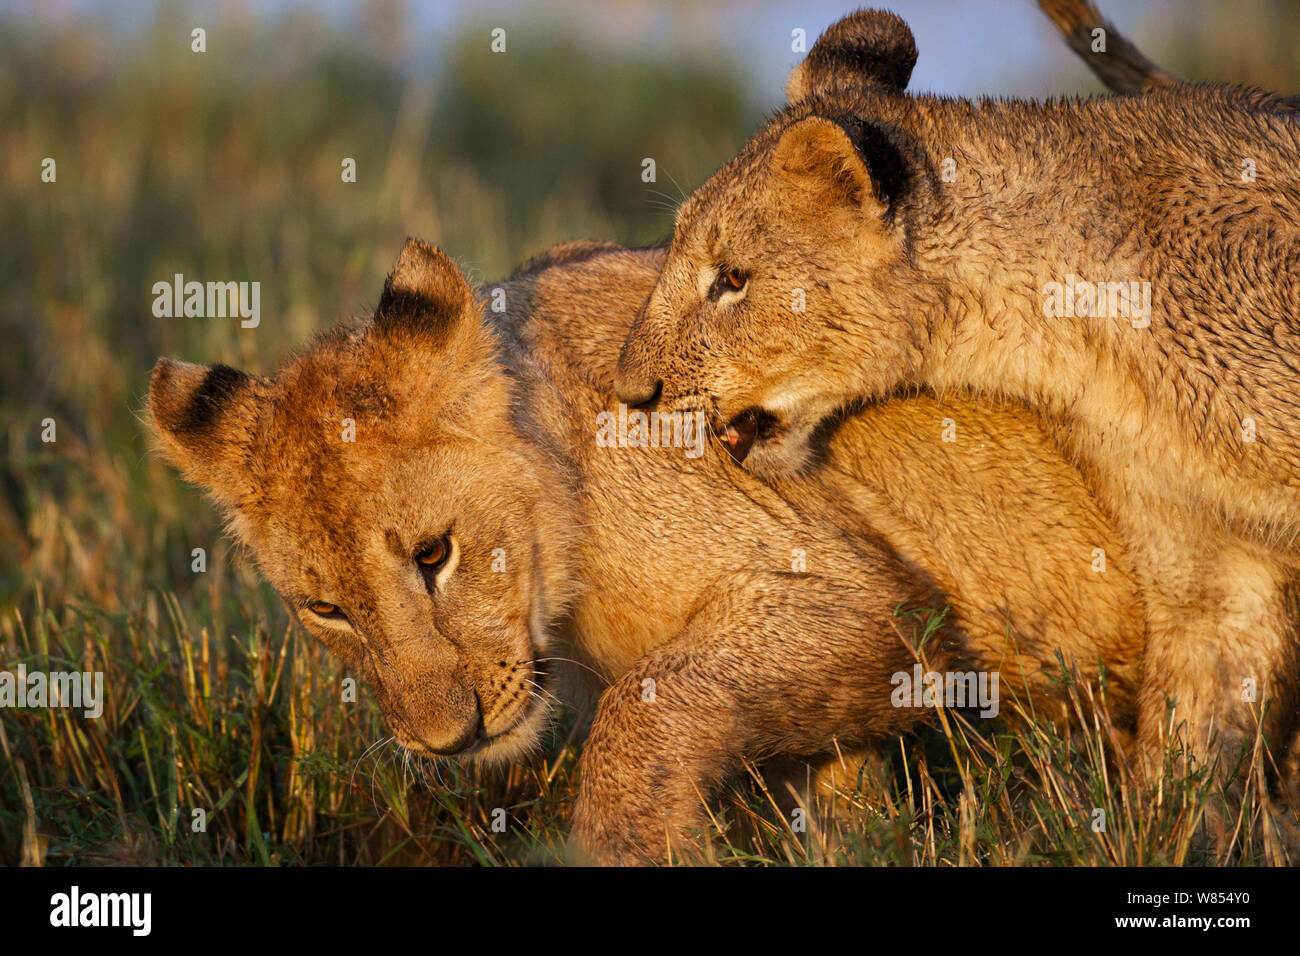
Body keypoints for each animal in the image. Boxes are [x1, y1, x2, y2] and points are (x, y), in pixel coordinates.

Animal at [148, 237, 1144, 863]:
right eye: (326, 609)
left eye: (434, 554)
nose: (446, 741)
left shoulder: (868, 593)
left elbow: (643, 710)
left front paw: (628, 845)